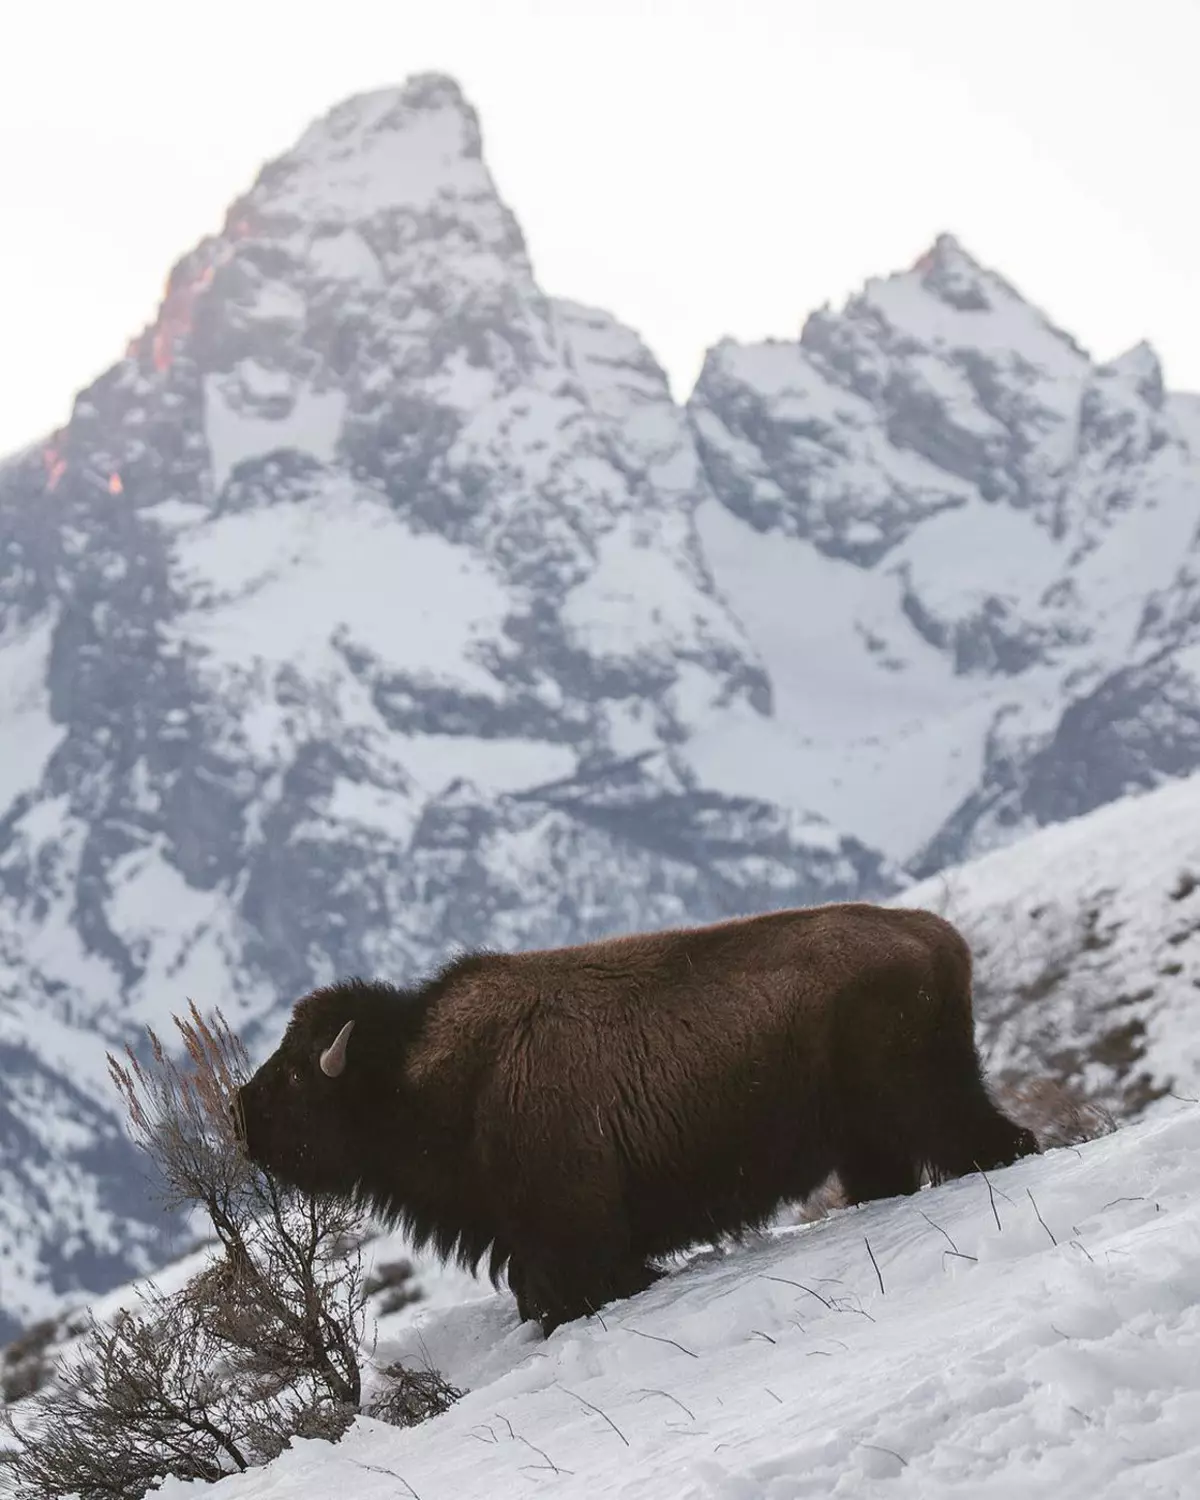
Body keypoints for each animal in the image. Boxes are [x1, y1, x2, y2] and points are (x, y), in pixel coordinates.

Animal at [229, 900, 1038, 1338]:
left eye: (297, 1072)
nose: (240, 1114)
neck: (421, 1069)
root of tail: (934, 934)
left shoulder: (575, 1243)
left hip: (926, 1102)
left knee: (993, 1141)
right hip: (867, 1142)